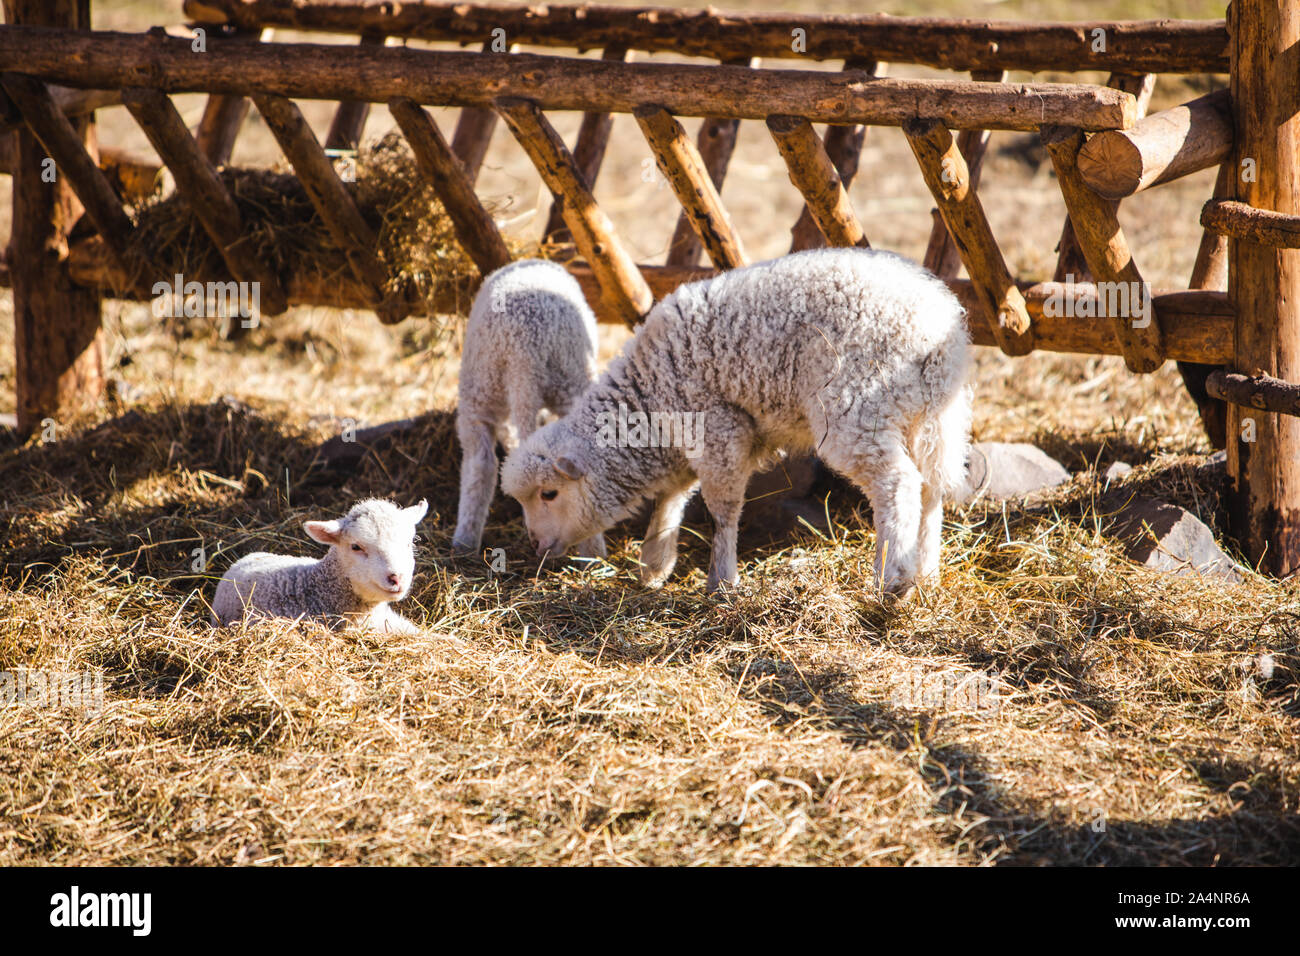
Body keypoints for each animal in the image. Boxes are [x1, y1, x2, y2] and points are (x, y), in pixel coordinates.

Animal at [452, 258, 606, 560]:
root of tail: (522, 349)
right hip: (569, 381)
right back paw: (593, 553)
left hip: (481, 389)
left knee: (480, 463)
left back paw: (464, 541)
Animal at [500, 247, 973, 598]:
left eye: (549, 494)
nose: (536, 545)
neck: (649, 397)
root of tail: (933, 328)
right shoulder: (691, 438)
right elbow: (673, 493)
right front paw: (655, 562)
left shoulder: (718, 427)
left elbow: (721, 509)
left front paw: (721, 580)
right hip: (934, 416)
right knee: (932, 486)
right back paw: (925, 571)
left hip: (858, 410)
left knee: (898, 484)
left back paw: (891, 578)